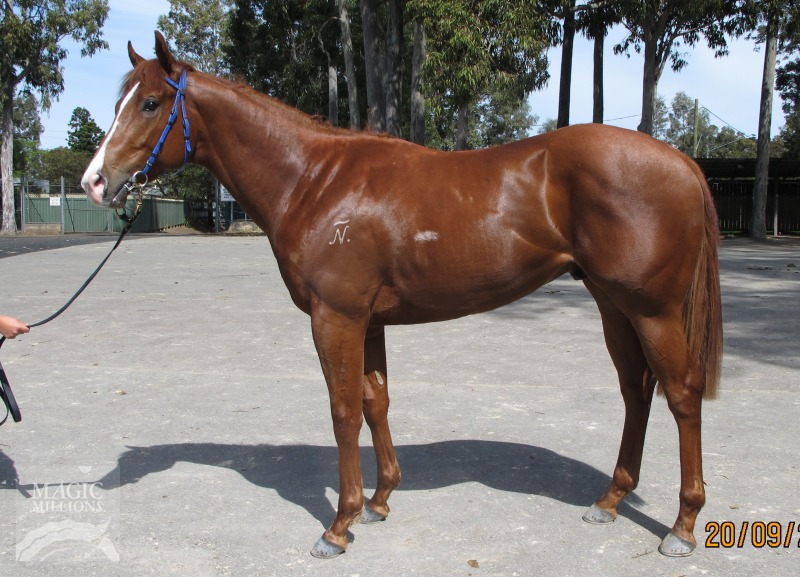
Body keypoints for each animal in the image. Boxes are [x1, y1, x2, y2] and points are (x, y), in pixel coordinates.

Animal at [81, 32, 722, 559]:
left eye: (149, 103)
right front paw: (380, 499)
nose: (94, 181)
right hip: (615, 307)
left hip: (653, 311)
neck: (314, 181)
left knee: (682, 394)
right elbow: (375, 402)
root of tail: (683, 162)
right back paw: (610, 501)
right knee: (637, 391)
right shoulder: (368, 322)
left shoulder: (334, 318)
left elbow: (342, 410)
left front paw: (339, 525)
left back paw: (683, 527)